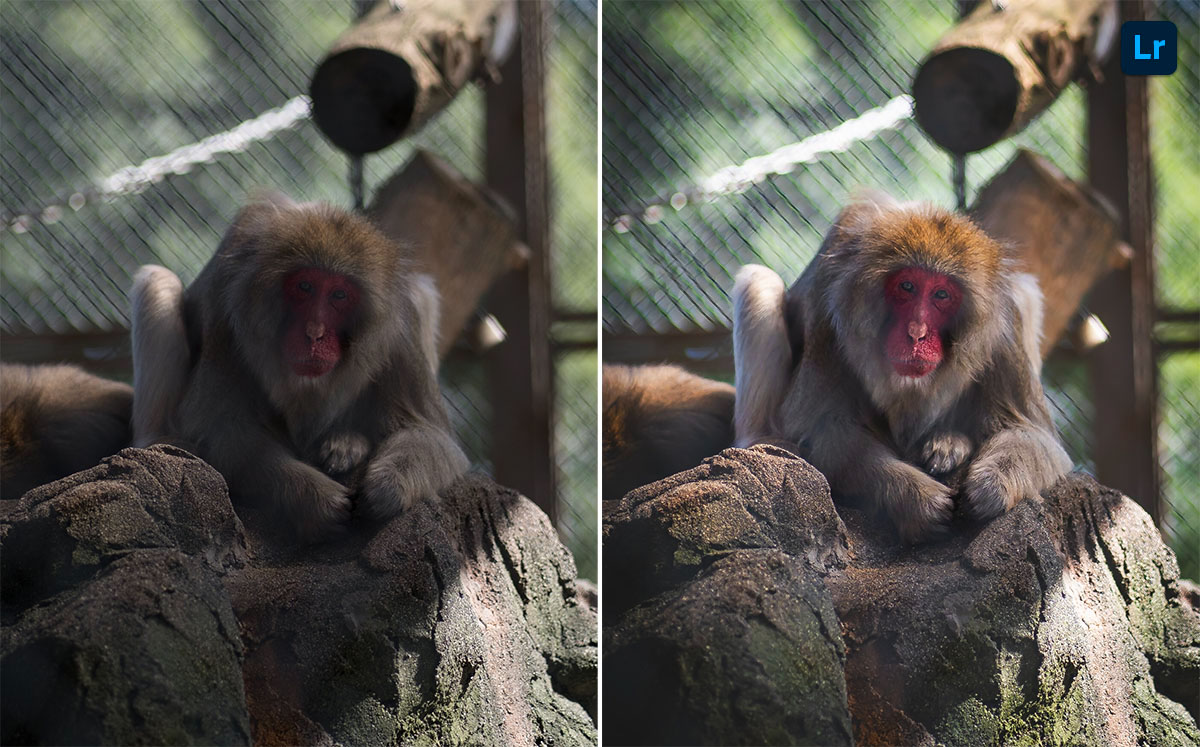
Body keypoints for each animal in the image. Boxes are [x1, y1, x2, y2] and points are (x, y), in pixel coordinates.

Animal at [130, 193, 469, 541]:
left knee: (422, 290)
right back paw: (160, 441)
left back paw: (347, 441)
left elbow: (431, 434)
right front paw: (313, 499)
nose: (314, 333)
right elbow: (220, 428)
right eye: (305, 287)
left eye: (339, 294)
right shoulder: (226, 319)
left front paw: (386, 488)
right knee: (158, 281)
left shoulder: (400, 334)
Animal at [732, 192, 1071, 542]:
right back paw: (764, 441)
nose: (916, 333)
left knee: (1026, 289)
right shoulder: (828, 320)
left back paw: (950, 441)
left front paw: (989, 487)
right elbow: (824, 429)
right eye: (907, 287)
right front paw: (915, 499)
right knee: (759, 282)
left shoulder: (1005, 331)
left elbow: (1033, 434)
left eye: (941, 294)